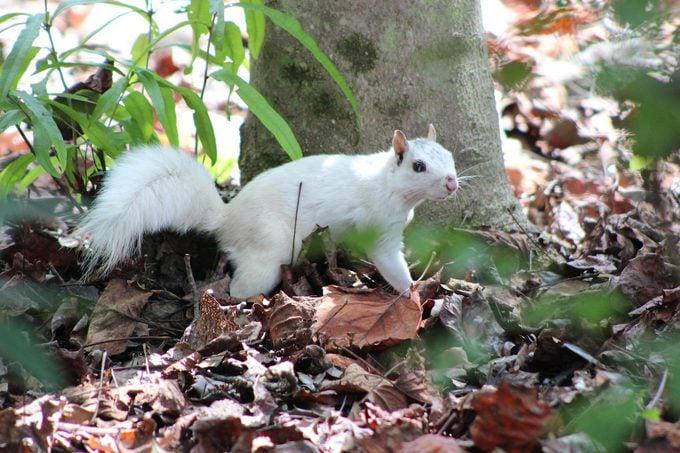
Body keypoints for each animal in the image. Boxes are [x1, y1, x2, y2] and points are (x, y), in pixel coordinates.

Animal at [80, 124, 458, 298]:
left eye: (450, 155)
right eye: (419, 166)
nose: (453, 183)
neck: (389, 183)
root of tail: (227, 220)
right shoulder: (380, 227)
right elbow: (389, 262)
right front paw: (413, 291)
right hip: (268, 250)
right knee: (241, 286)